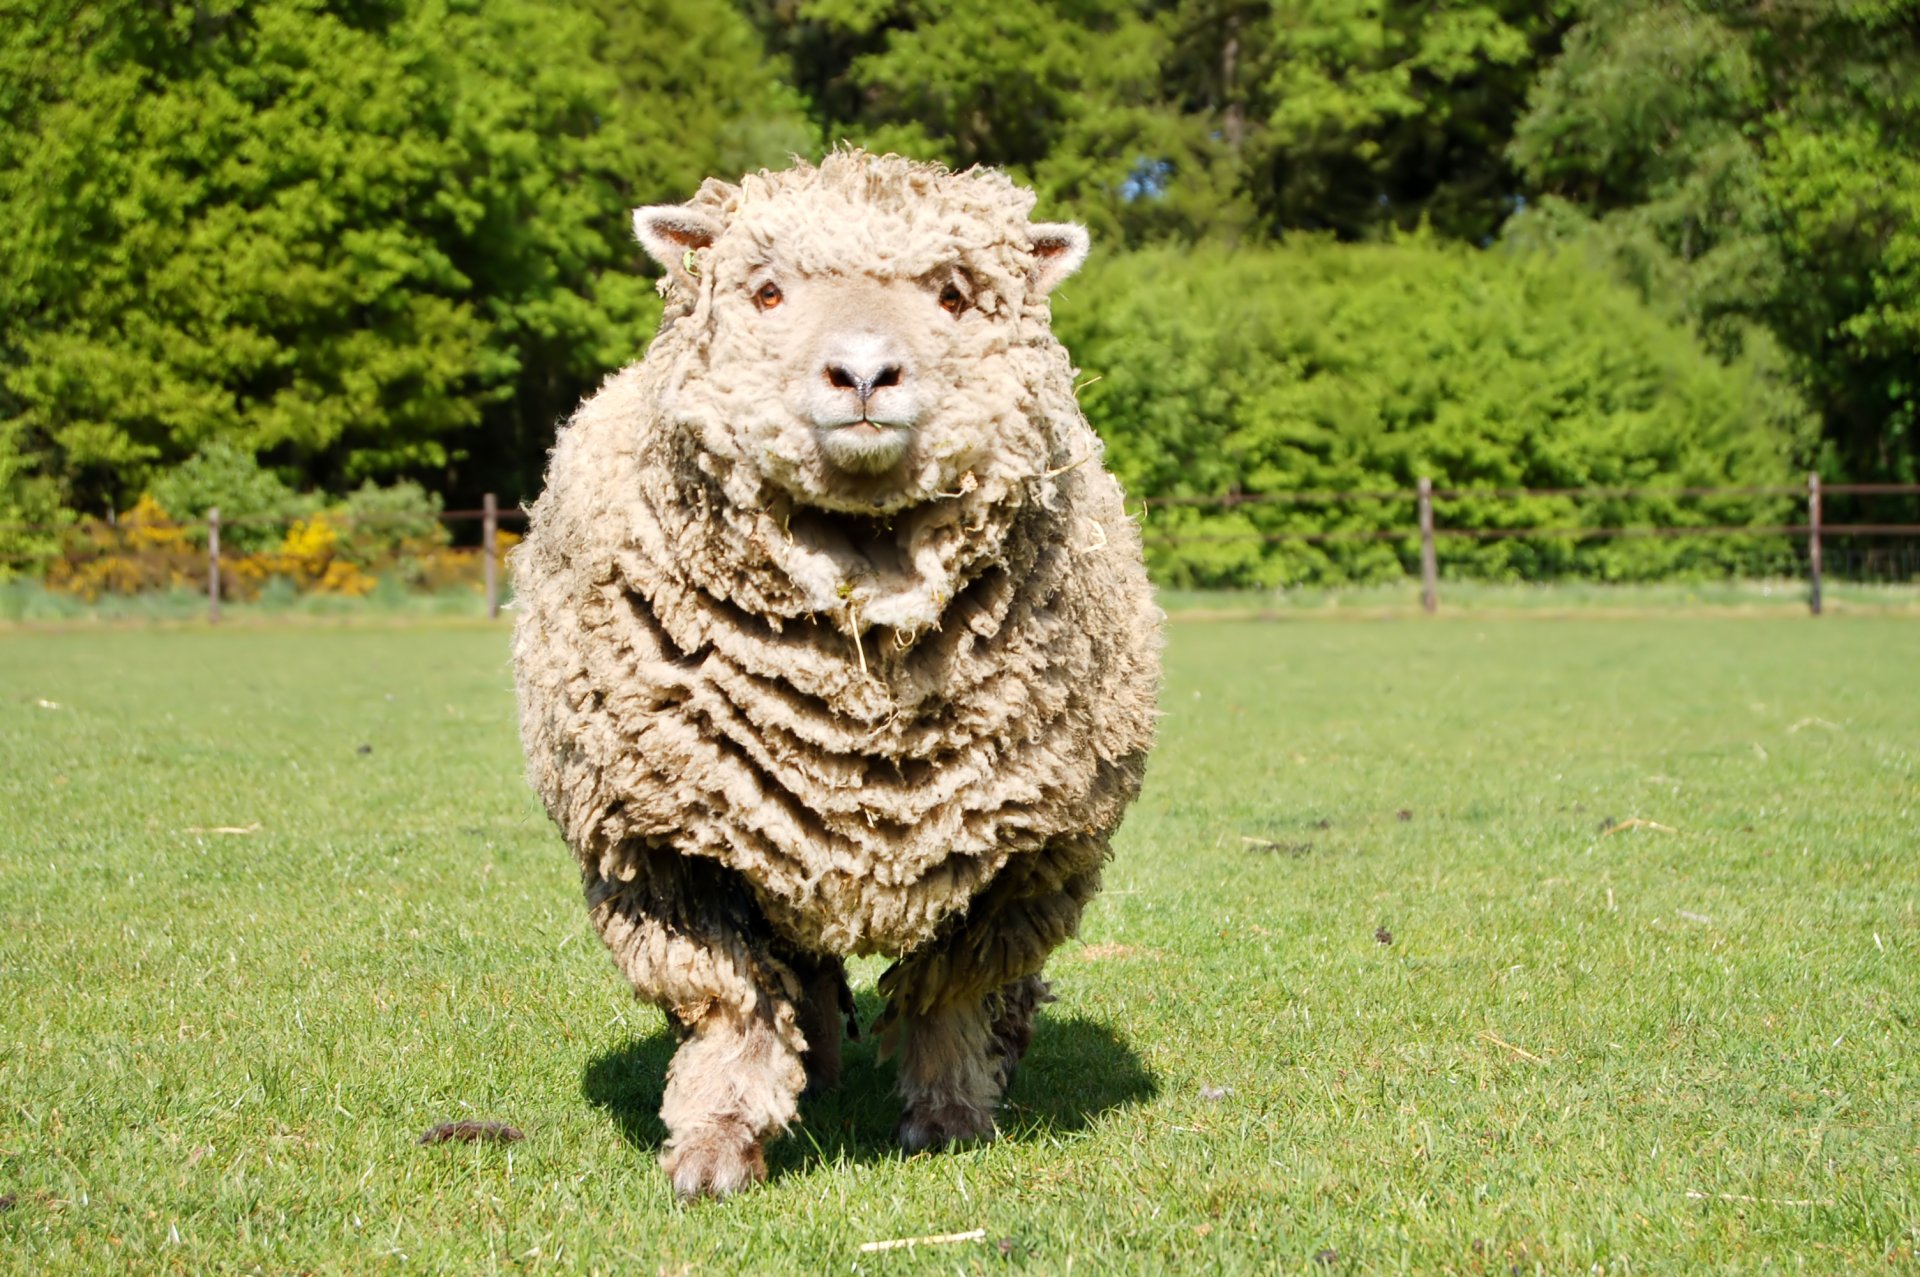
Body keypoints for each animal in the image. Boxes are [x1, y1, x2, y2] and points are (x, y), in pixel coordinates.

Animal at [511, 150, 1161, 1200]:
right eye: (768, 291)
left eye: (953, 293)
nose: (862, 371)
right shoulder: (670, 852)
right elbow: (733, 1002)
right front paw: (716, 1144)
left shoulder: (1021, 857)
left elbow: (950, 992)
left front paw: (949, 1118)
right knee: (798, 977)